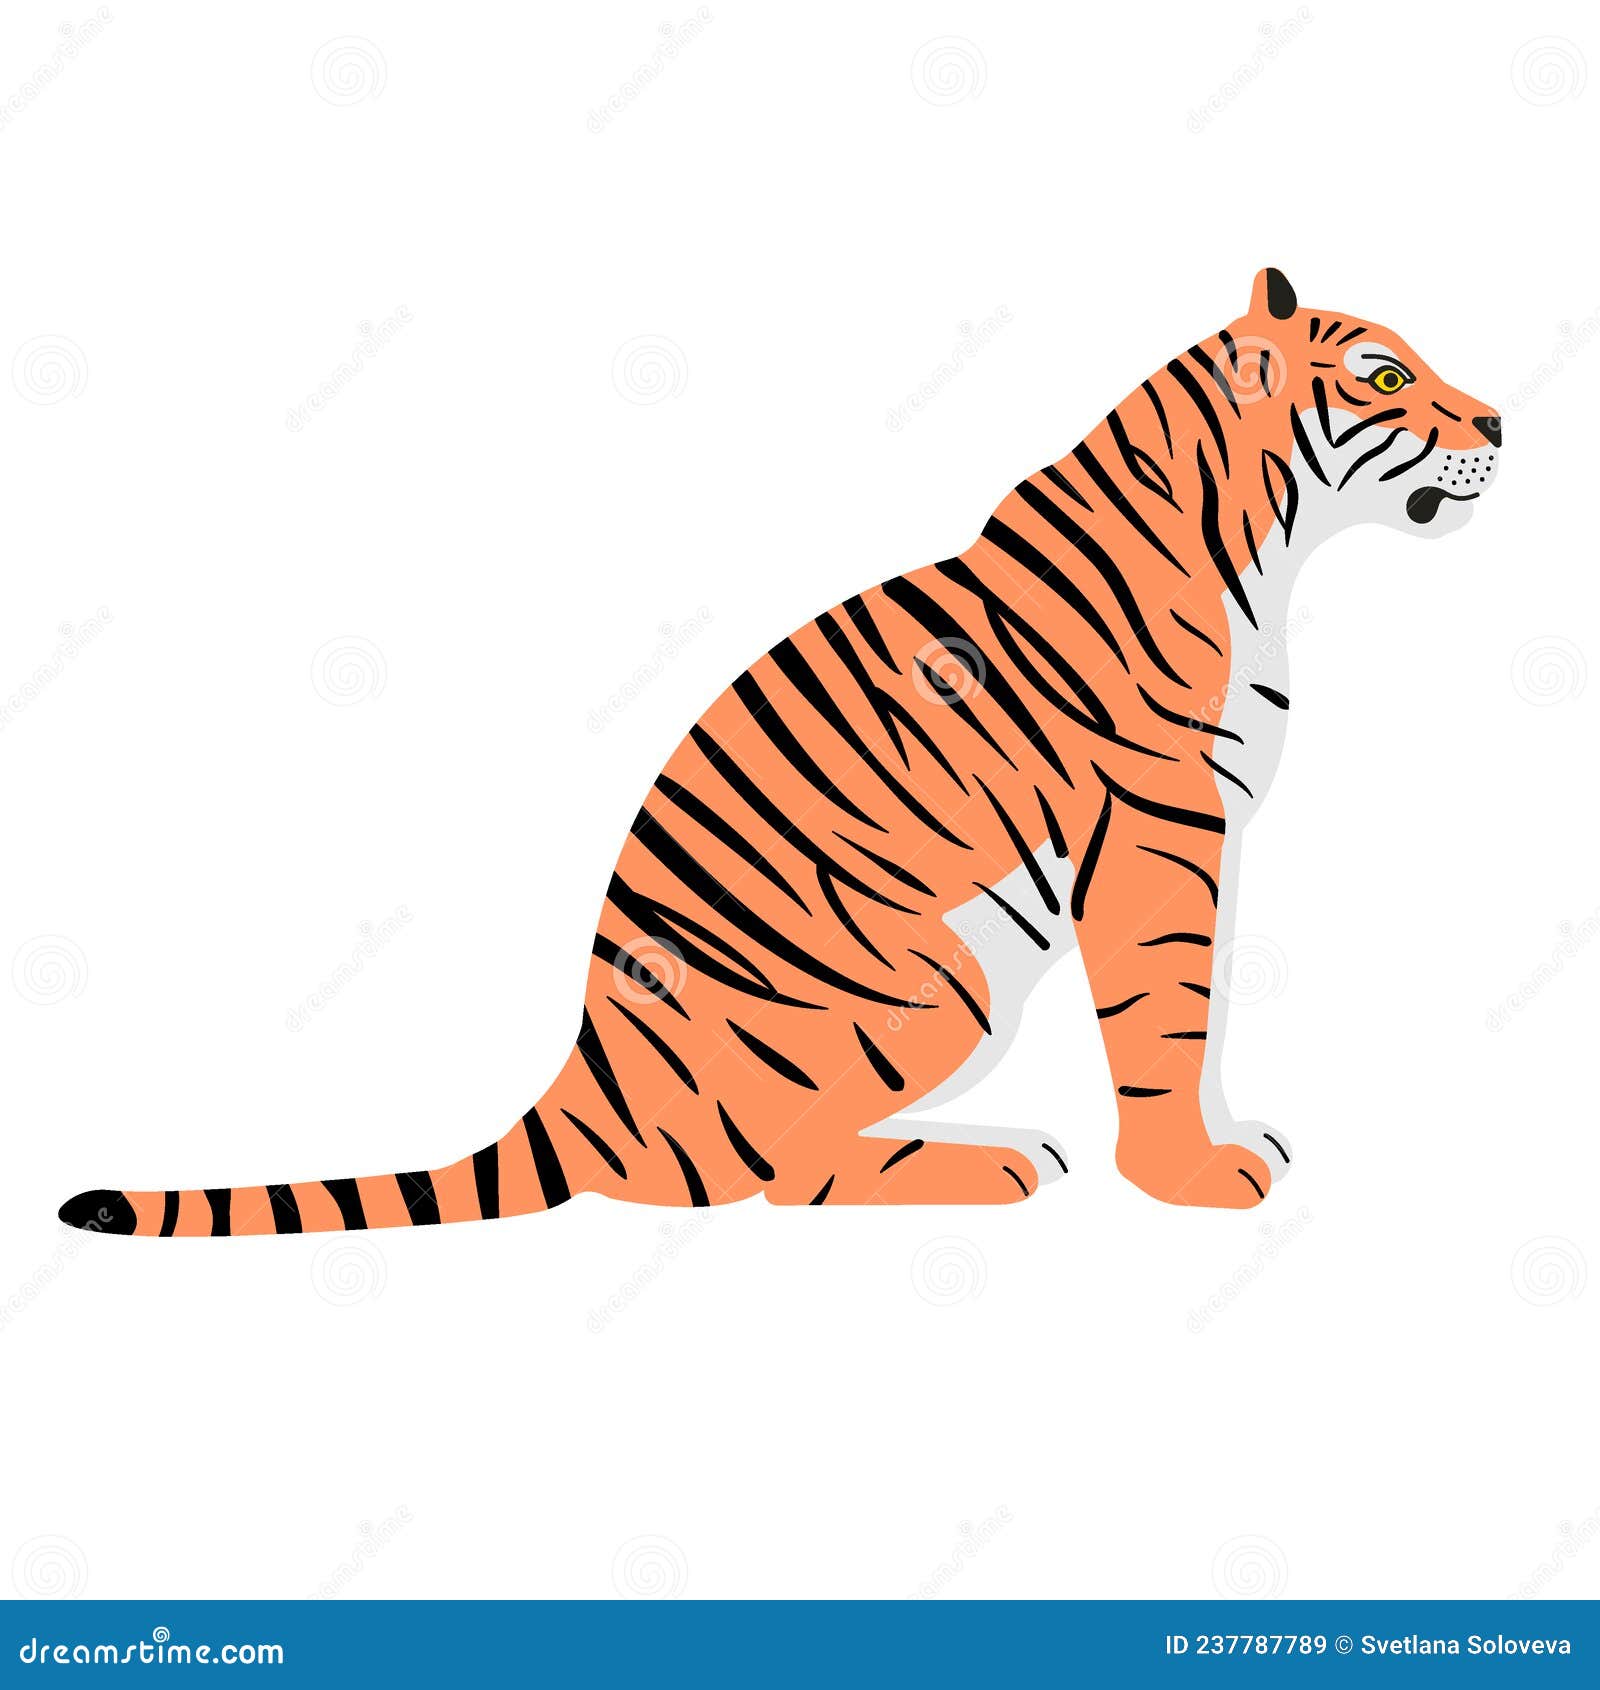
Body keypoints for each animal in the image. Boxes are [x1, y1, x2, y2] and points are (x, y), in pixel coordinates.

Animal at [59, 268, 1500, 1237]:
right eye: (1382, 377)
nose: (1497, 423)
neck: (1264, 538)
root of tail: (578, 1084)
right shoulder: (1158, 829)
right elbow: (1168, 1011)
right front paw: (1196, 1178)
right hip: (938, 976)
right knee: (775, 1178)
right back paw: (997, 1161)